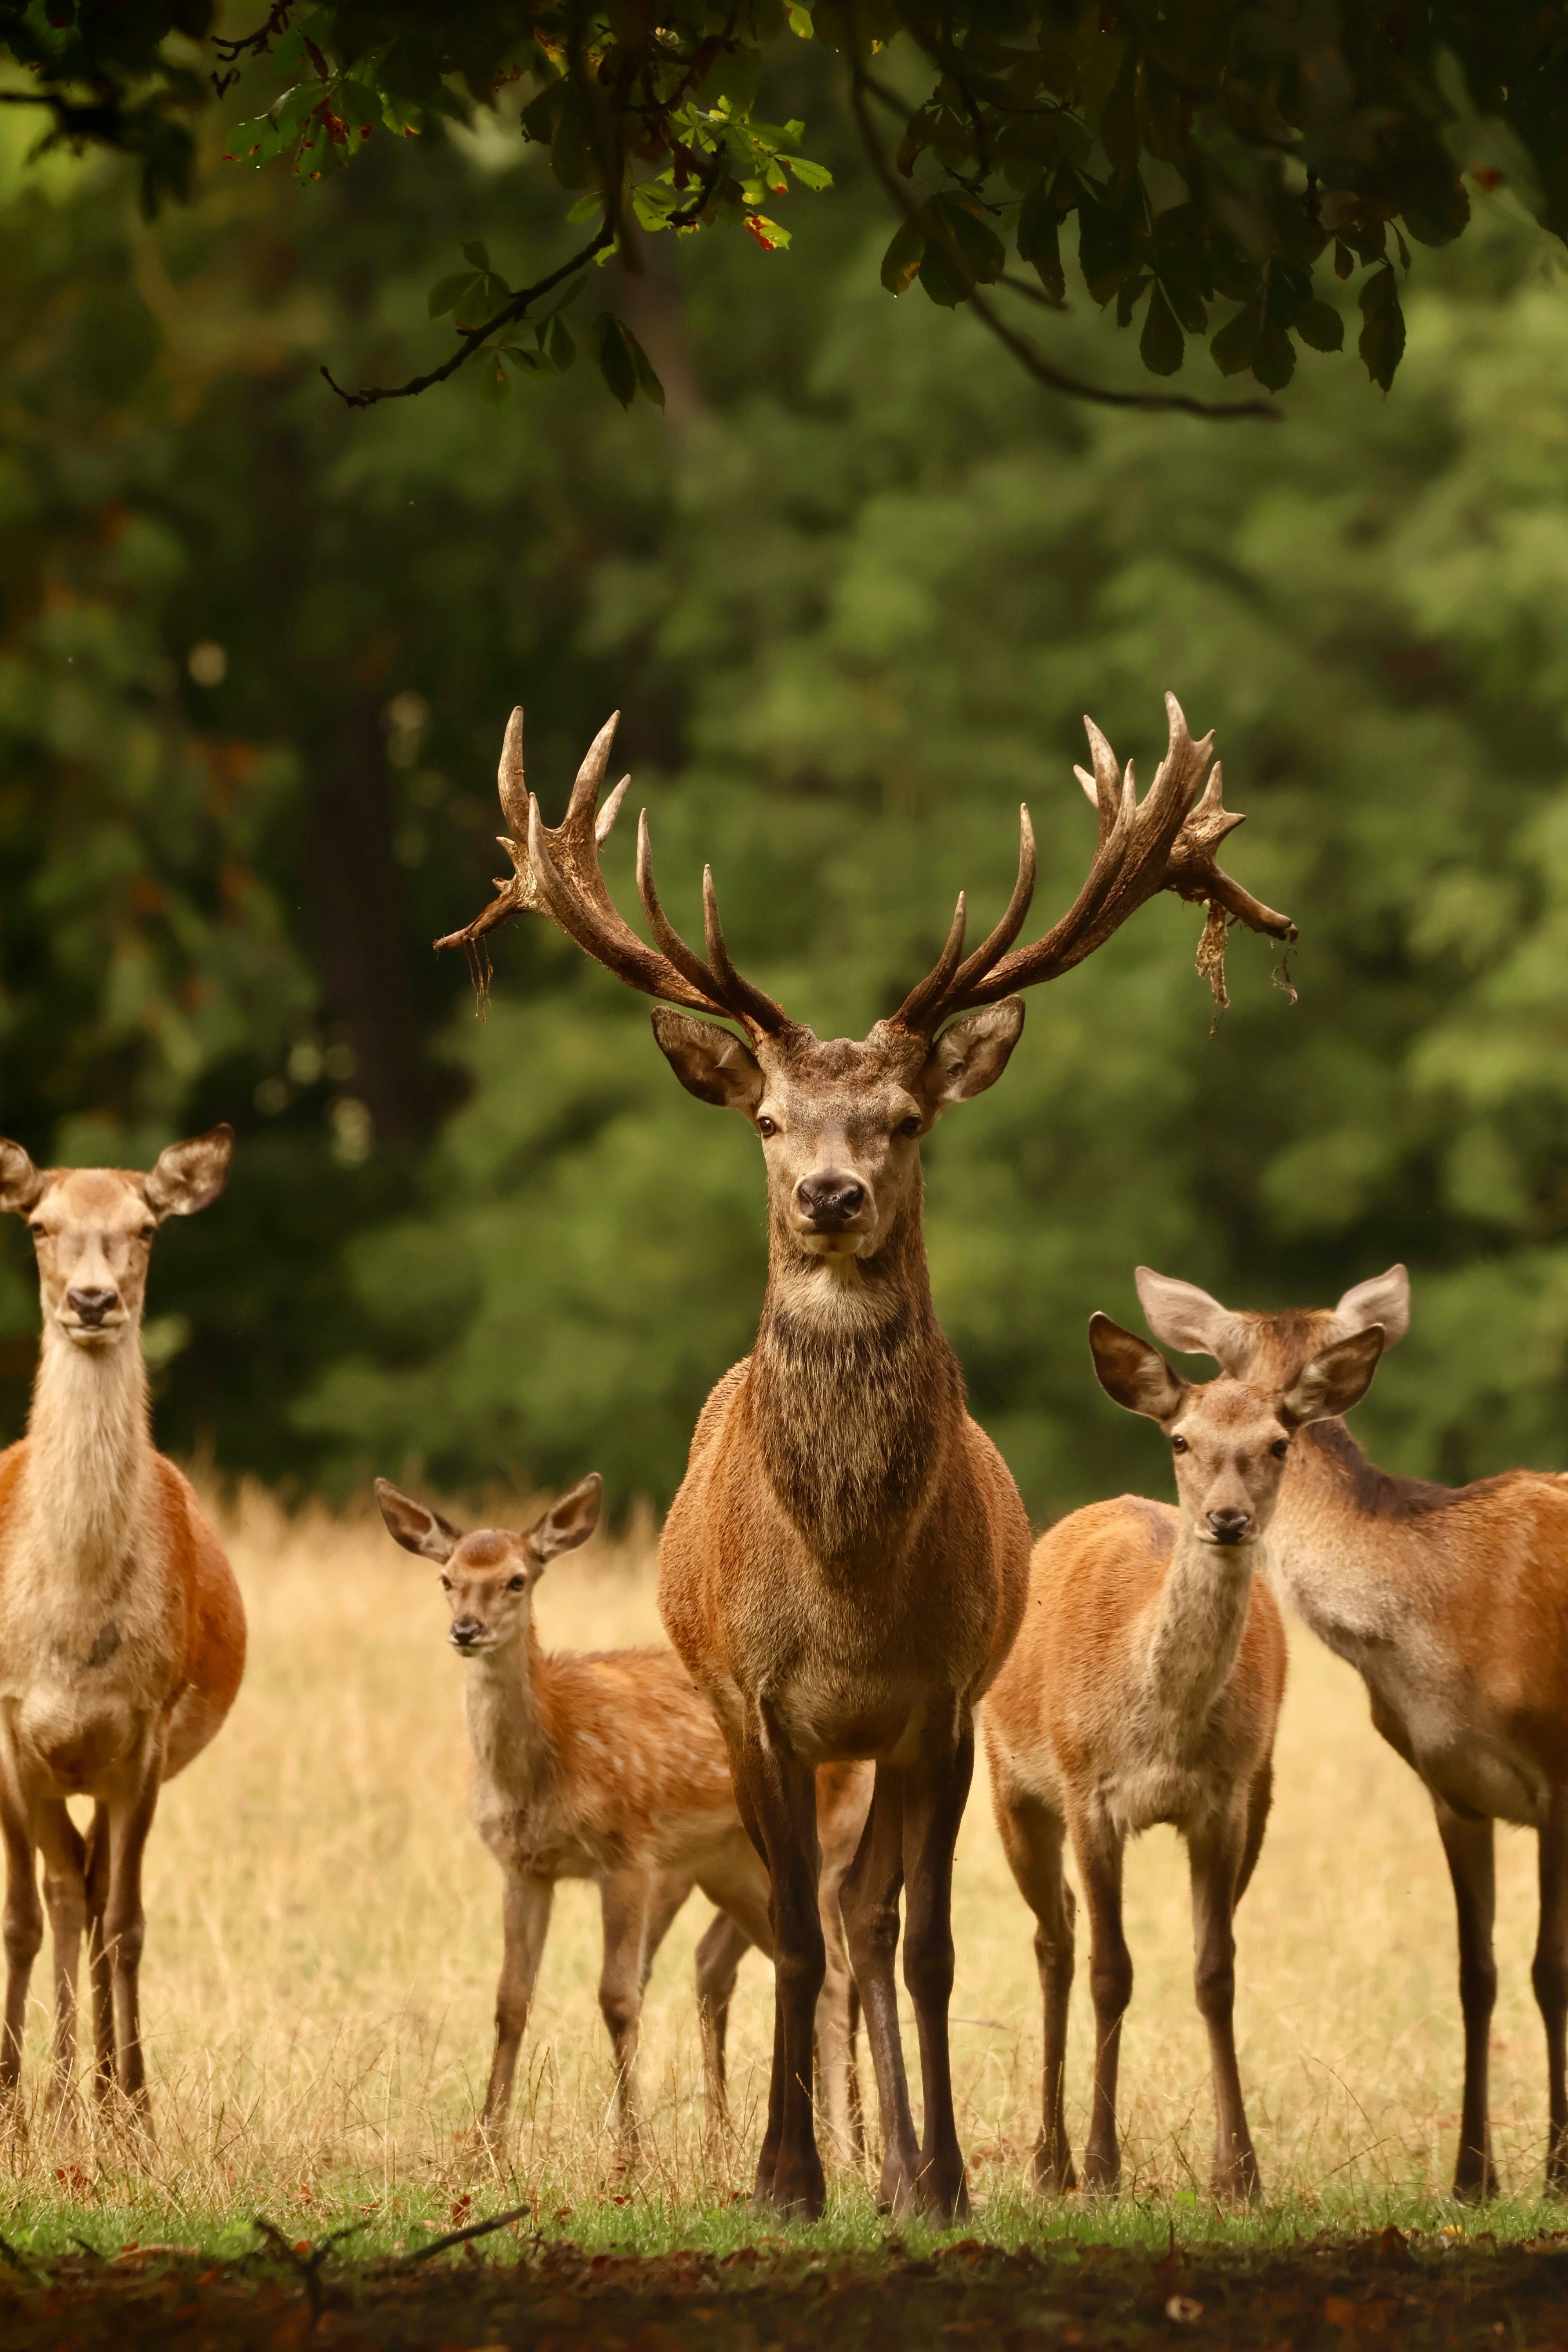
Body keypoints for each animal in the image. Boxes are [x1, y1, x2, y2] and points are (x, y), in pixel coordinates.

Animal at [374, 1474, 872, 2162]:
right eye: (446, 1578)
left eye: (517, 1580)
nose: (466, 1630)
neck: (553, 1756)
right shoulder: (522, 1869)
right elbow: (510, 2000)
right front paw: (486, 2148)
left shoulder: (629, 1853)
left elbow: (618, 1996)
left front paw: (632, 2154)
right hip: (733, 1872)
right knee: (790, 1967)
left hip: (824, 1850)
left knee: (837, 1975)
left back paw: (845, 2154)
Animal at [433, 689, 1295, 2217]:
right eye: (770, 1119)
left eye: (905, 1118)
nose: (830, 1193)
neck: (842, 1582)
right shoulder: (755, 1701)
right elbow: (790, 1930)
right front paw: (783, 2177)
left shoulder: (941, 1698)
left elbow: (929, 1942)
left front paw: (938, 2176)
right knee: (828, 1917)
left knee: (875, 1918)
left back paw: (895, 2166)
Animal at [984, 1310, 1384, 2202]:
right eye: (1180, 1439)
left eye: (1278, 1442)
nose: (1227, 1518)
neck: (1159, 1729)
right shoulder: (1090, 1790)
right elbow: (1112, 1971)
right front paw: (1103, 2169)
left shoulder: (1227, 1801)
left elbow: (1215, 1973)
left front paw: (1237, 2173)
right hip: (1009, 1783)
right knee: (1054, 1941)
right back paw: (1049, 2162)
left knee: (1068, 1926)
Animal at [1134, 1260, 1568, 2203]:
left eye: (1275, 1433)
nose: (1228, 1513)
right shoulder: (1450, 1787)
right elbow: (1475, 1974)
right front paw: (1471, 2178)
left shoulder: (1561, 1774)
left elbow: (1550, 1969)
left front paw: (1557, 2175)